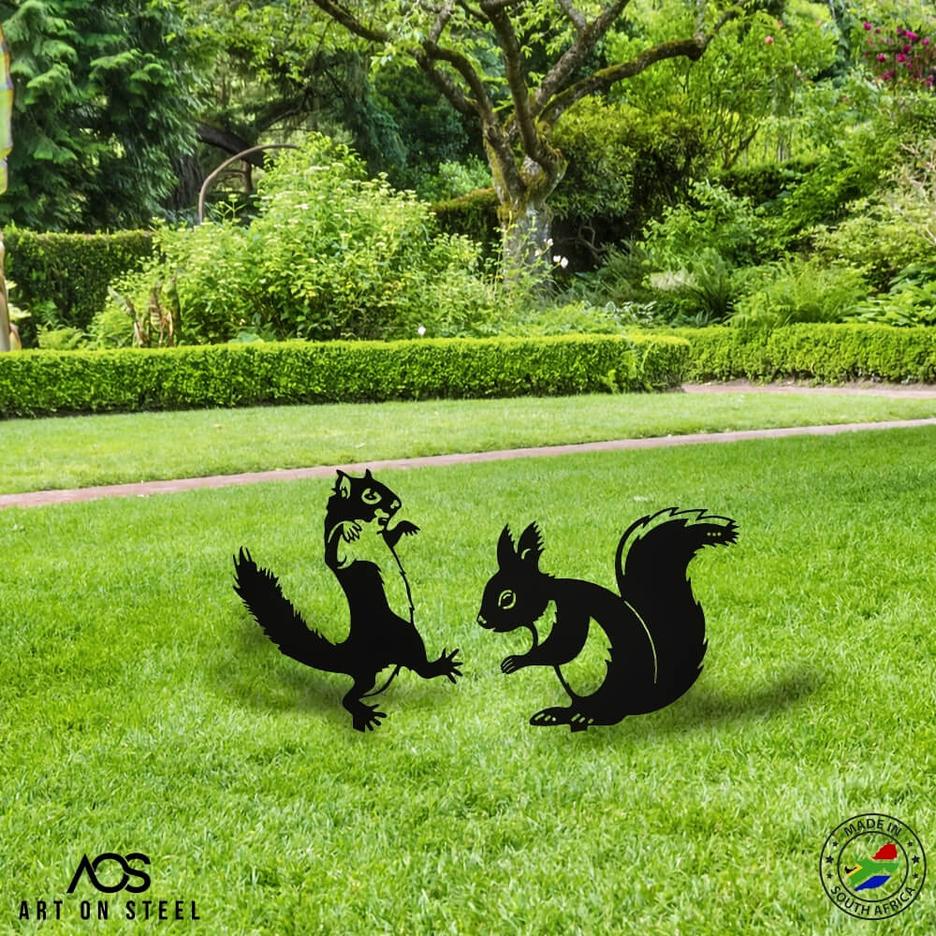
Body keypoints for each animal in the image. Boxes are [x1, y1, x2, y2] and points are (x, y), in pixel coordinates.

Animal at [233, 469, 461, 732]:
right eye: (370, 495)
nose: (397, 504)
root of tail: (353, 652)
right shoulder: (338, 549)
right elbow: (336, 543)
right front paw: (349, 527)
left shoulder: (384, 536)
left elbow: (391, 535)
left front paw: (406, 526)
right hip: (398, 643)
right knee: (352, 696)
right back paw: (363, 715)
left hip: (411, 644)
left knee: (422, 669)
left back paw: (443, 666)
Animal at [476, 508, 737, 731]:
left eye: (507, 598)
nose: (482, 621)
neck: (547, 597)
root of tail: (643, 699)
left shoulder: (572, 614)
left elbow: (560, 648)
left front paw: (517, 660)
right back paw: (557, 715)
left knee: (608, 714)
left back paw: (581, 717)